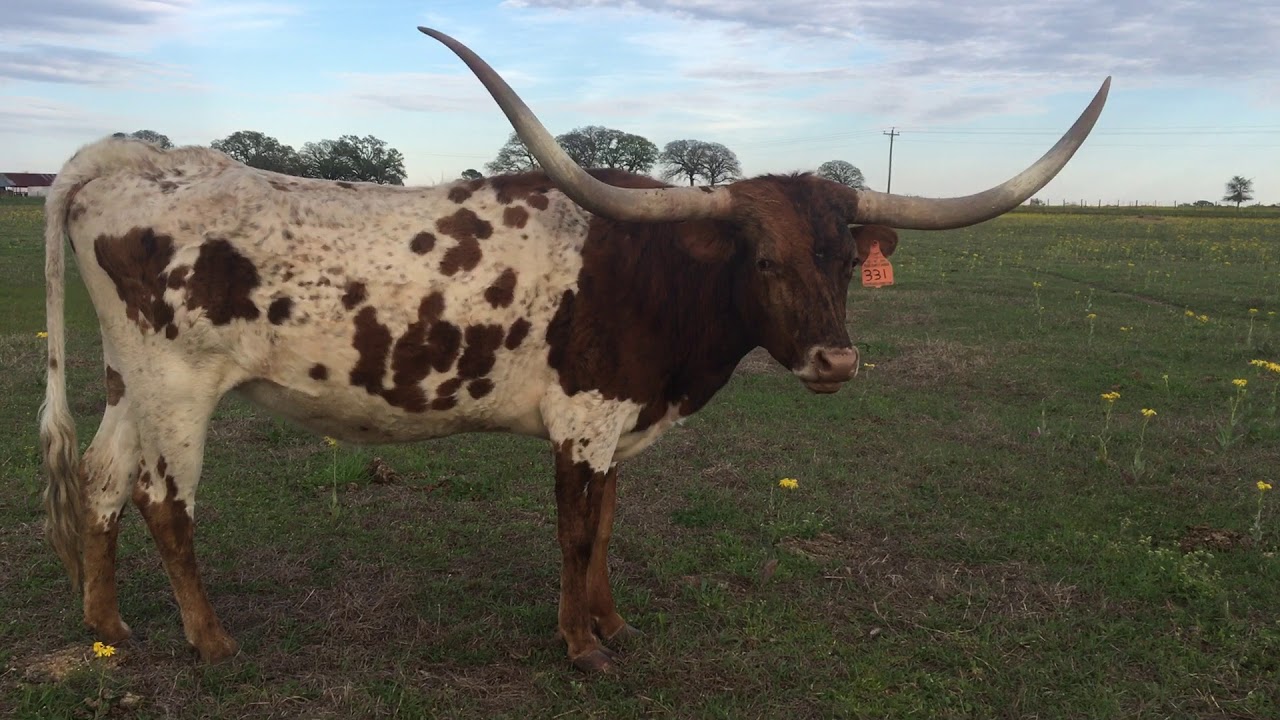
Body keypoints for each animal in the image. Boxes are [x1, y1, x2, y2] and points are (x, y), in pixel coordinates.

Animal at [39, 27, 1109, 672]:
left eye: (848, 258)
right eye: (761, 257)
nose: (836, 364)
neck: (661, 269)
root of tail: (130, 157)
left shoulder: (624, 423)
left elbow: (609, 530)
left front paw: (610, 624)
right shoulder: (583, 422)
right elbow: (577, 532)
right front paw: (580, 647)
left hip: (126, 382)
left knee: (99, 481)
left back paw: (107, 625)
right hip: (178, 385)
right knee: (163, 501)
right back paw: (212, 641)